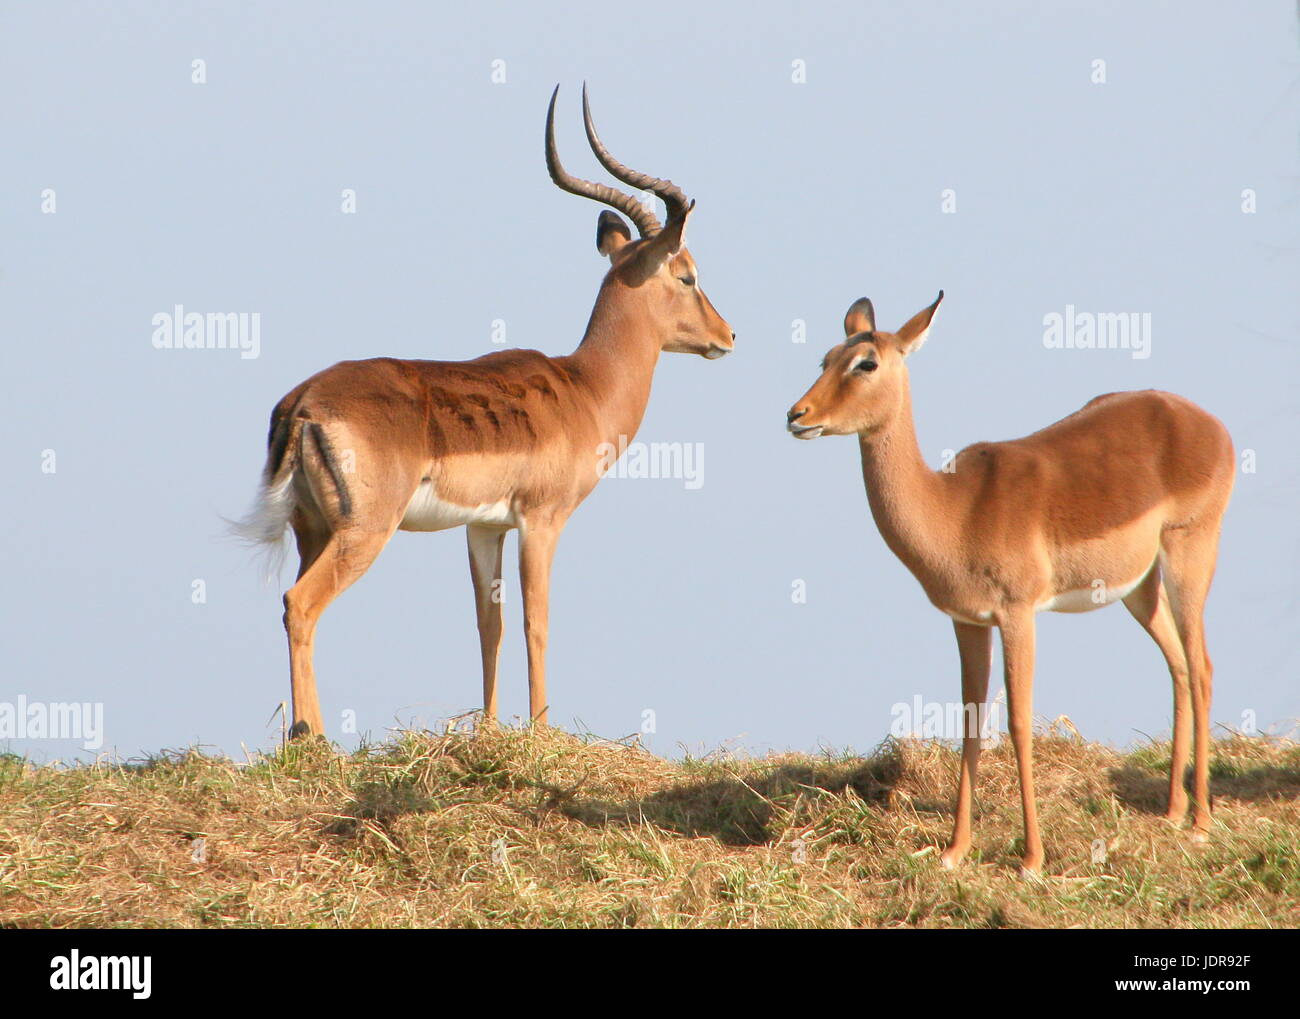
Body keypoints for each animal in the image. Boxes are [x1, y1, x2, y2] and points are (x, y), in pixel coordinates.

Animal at [236, 86, 734, 738]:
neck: (585, 388)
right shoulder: (542, 521)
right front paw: (541, 733)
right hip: (364, 532)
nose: (727, 336)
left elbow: (488, 626)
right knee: (301, 604)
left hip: (312, 529)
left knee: (301, 606)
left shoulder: (484, 527)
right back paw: (311, 737)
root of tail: (300, 407)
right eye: (687, 274)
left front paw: (491, 731)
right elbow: (535, 622)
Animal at [787, 292, 1234, 874]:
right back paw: (1174, 812)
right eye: (825, 358)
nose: (797, 415)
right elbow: (971, 721)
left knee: (1201, 666)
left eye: (866, 362)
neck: (955, 509)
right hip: (1139, 585)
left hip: (1189, 553)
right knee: (1178, 665)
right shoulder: (967, 621)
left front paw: (1031, 859)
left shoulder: (1018, 614)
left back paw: (1202, 822)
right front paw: (954, 850)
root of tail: (1205, 420)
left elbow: (1018, 722)